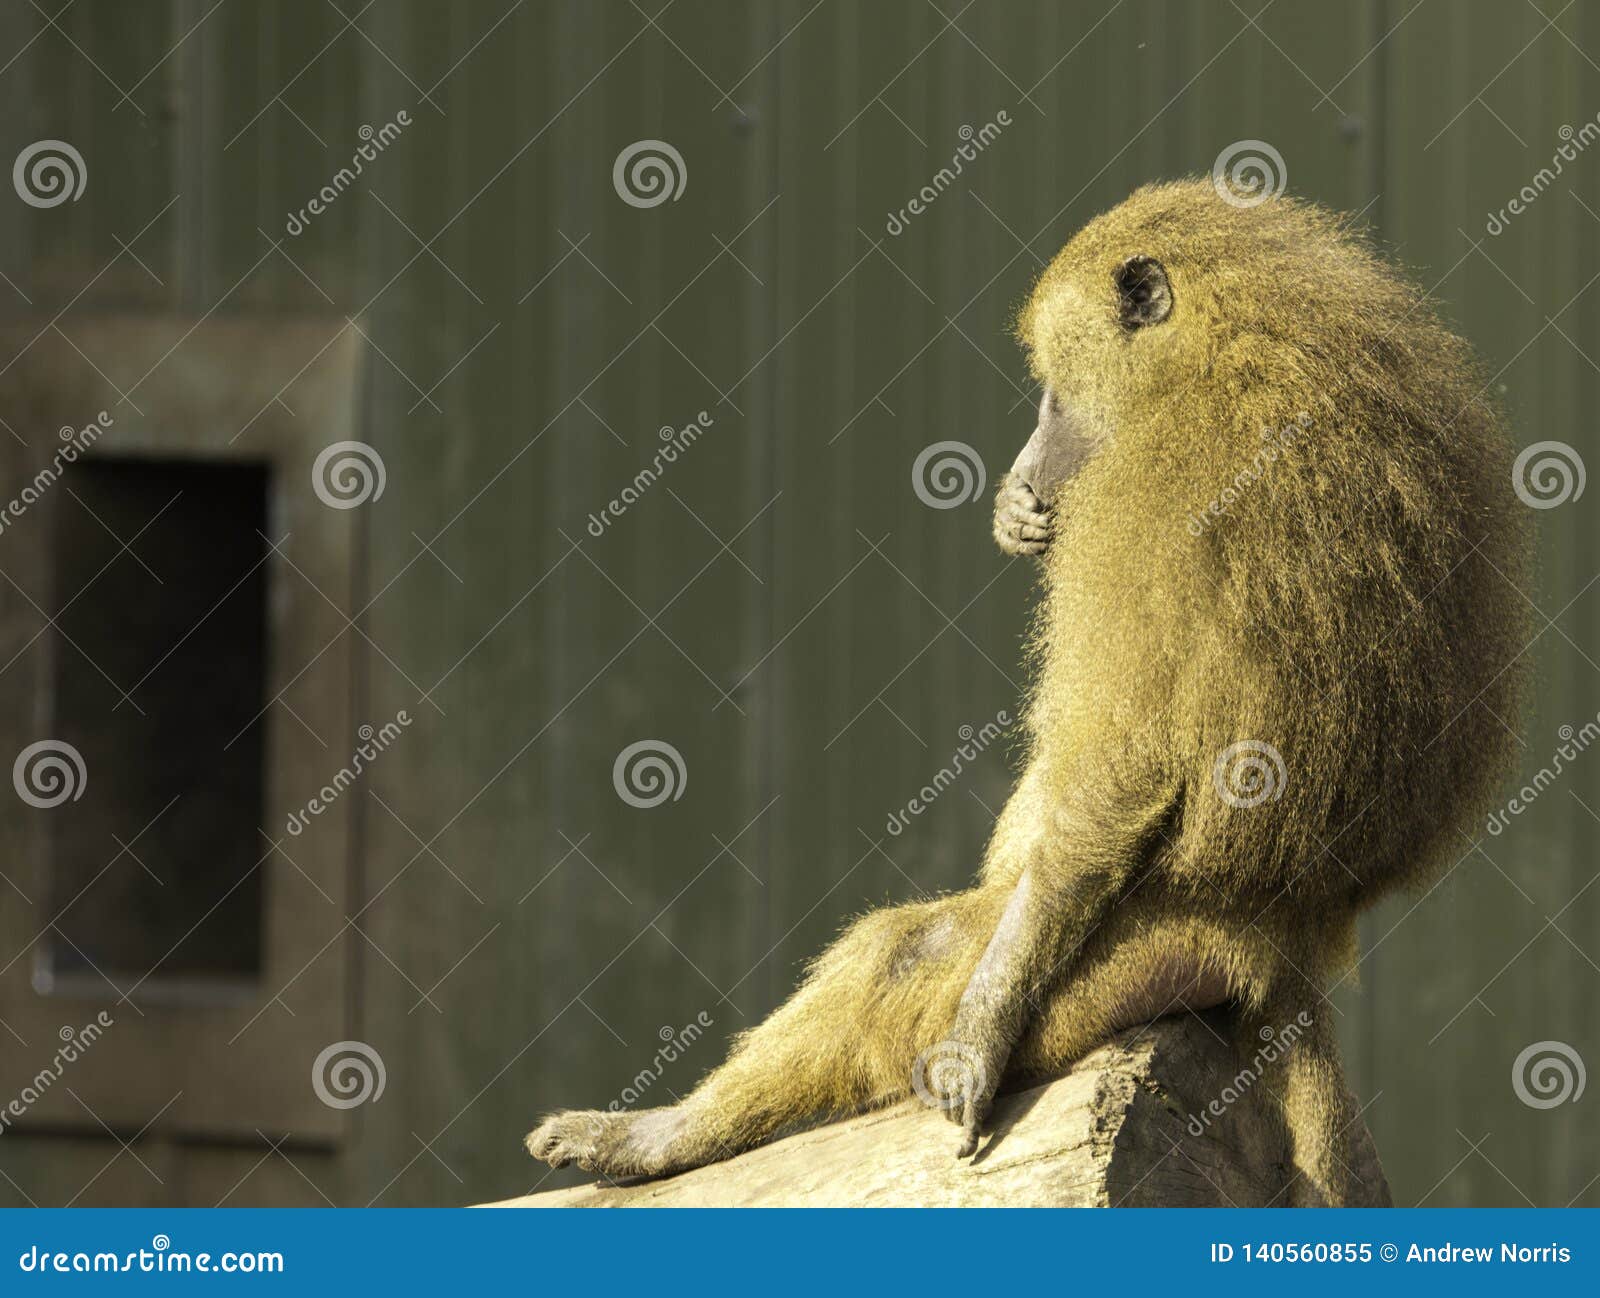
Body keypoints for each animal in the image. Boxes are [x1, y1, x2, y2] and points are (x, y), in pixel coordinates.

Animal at [527, 179, 1529, 1206]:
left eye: (1057, 386)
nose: (1027, 457)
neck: (1222, 354)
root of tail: (1288, 933)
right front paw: (1015, 514)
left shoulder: (1162, 493)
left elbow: (1122, 770)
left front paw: (978, 1037)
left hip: (1136, 955)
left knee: (910, 952)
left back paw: (657, 1137)